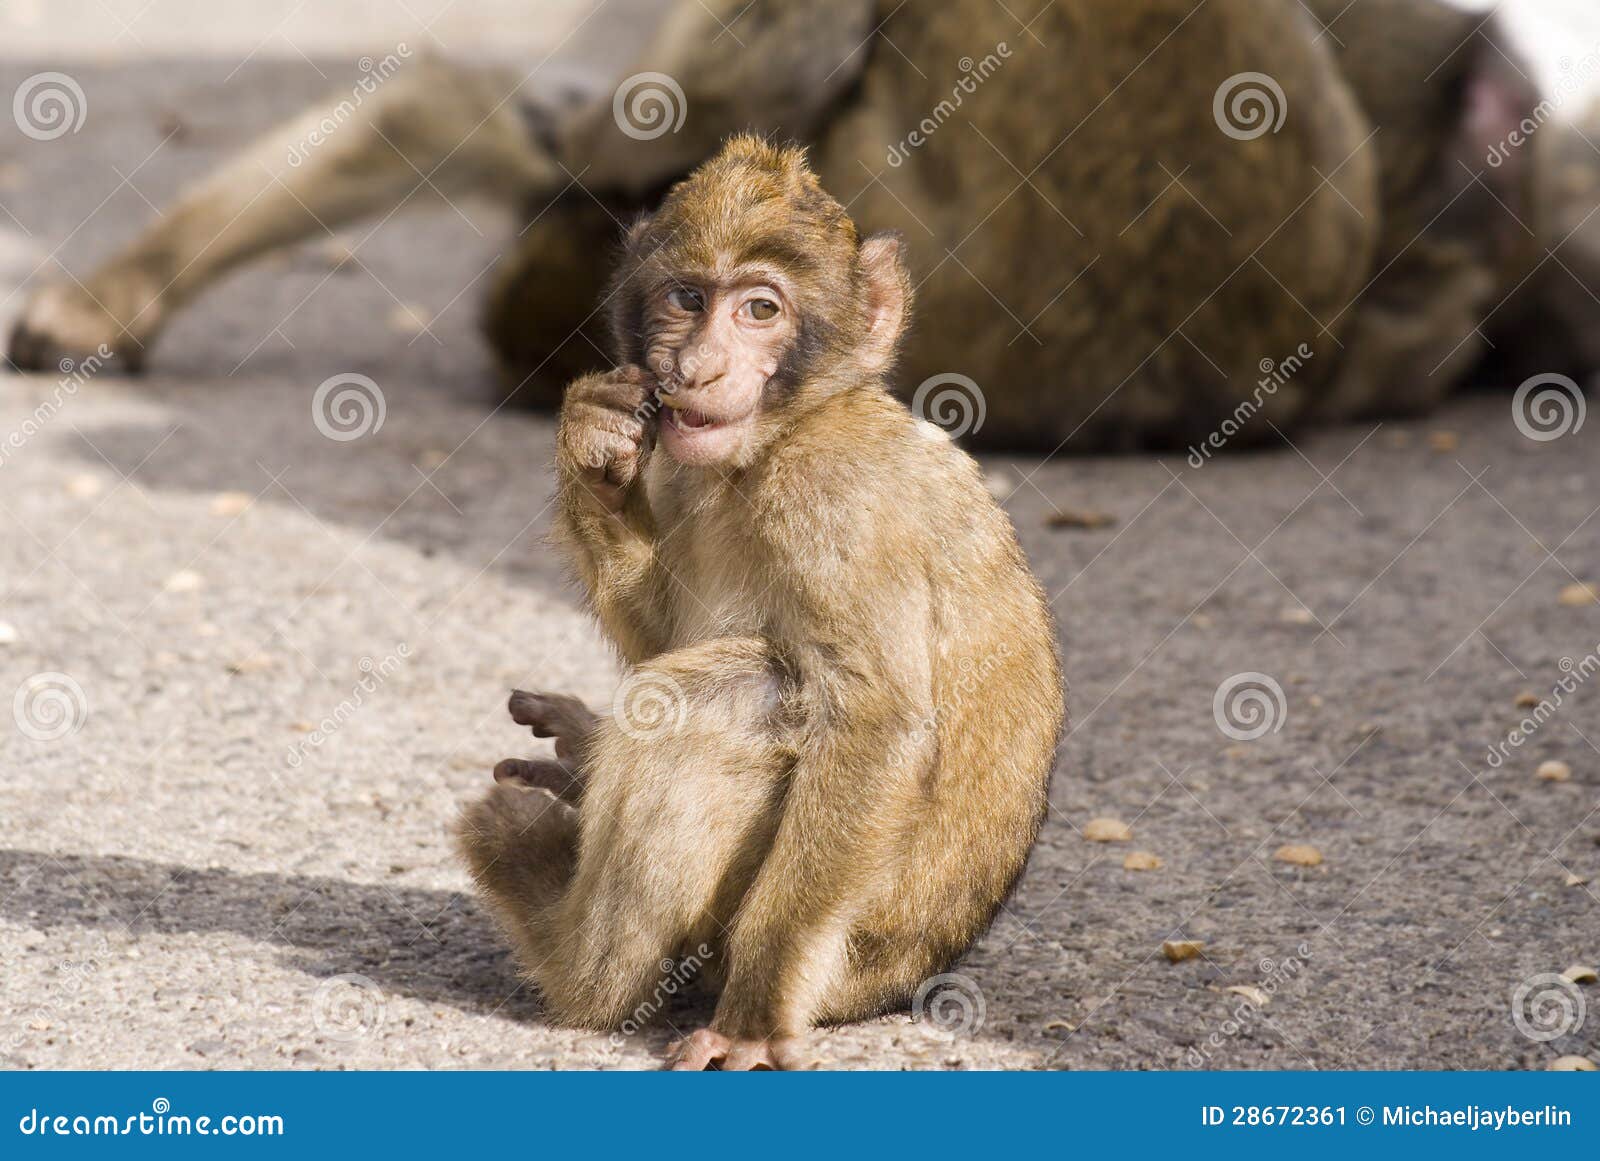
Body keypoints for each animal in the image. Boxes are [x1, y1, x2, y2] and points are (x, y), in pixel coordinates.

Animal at [454, 136, 1065, 1069]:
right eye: (687, 298)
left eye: (761, 309)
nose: (697, 367)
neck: (779, 440)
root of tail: (899, 982)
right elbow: (663, 626)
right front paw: (591, 447)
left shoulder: (832, 499)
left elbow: (874, 722)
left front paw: (752, 1011)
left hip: (827, 956)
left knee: (732, 693)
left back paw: (562, 936)